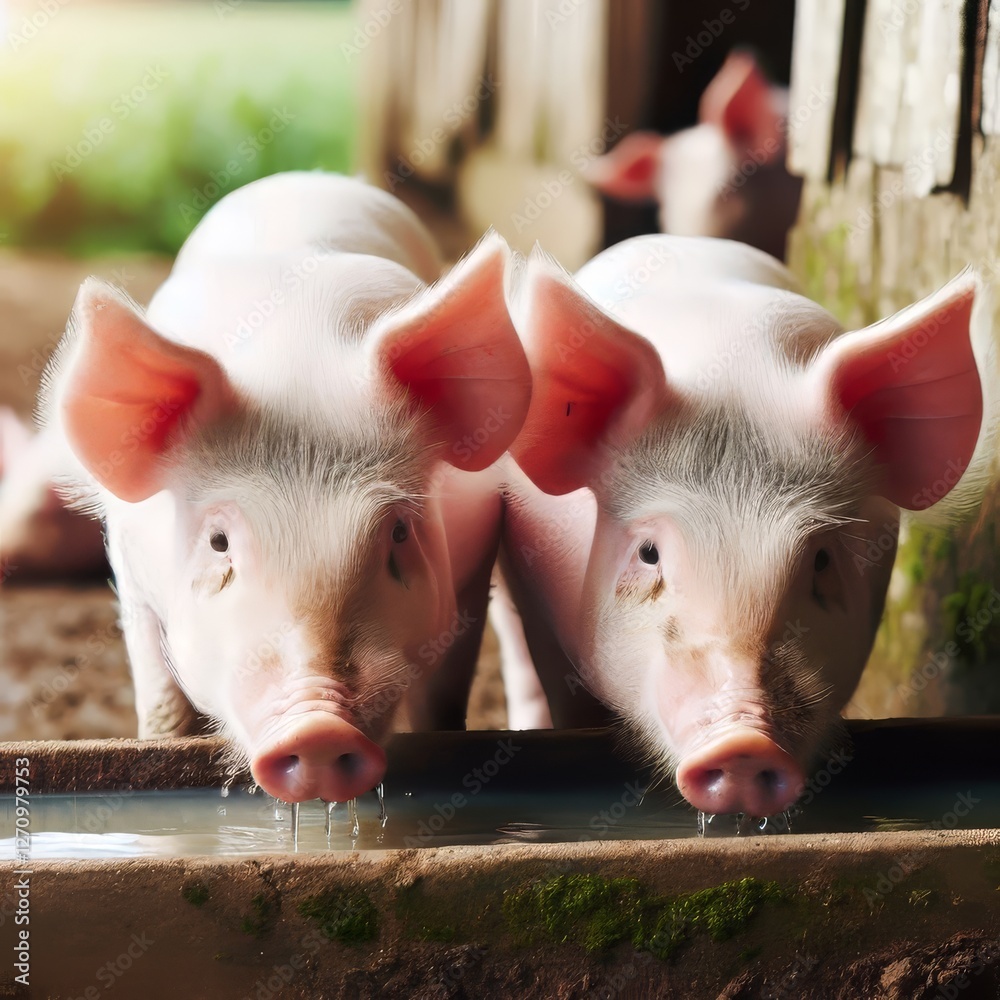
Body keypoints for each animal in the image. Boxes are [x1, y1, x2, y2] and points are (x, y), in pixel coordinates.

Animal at [41, 171, 532, 803]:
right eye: (219, 542)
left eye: (399, 533)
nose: (319, 728)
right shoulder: (131, 569)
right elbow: (161, 703)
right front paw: (163, 742)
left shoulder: (473, 559)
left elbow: (445, 700)